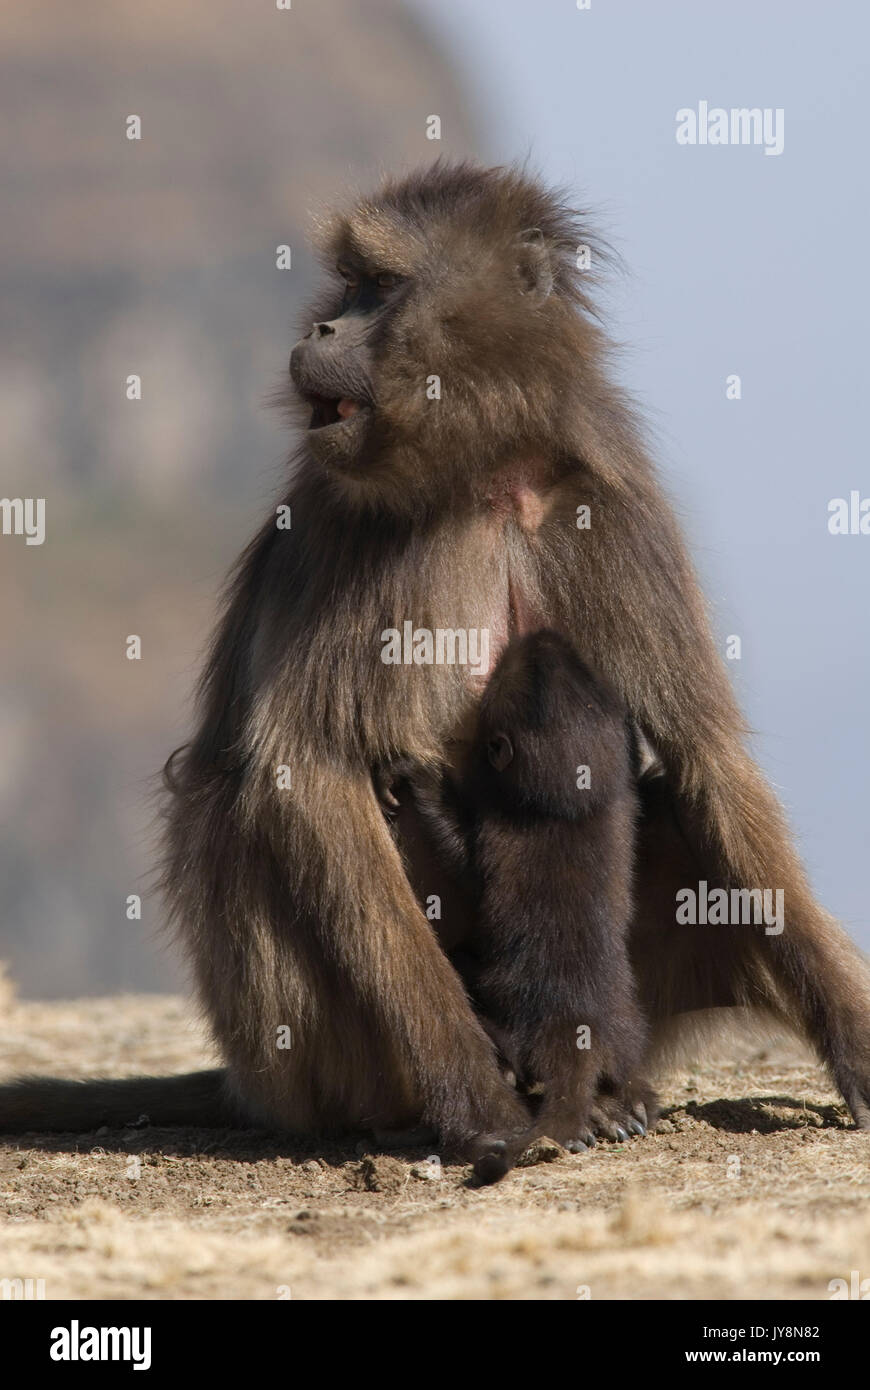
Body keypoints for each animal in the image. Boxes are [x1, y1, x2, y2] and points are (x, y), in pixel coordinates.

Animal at [375, 628, 656, 1181]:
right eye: (573, 665)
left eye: (511, 673)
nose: (539, 635)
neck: (566, 811)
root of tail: (575, 1028)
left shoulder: (496, 838)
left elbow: (460, 857)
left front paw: (415, 777)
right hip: (627, 1027)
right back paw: (632, 1103)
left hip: (508, 1017)